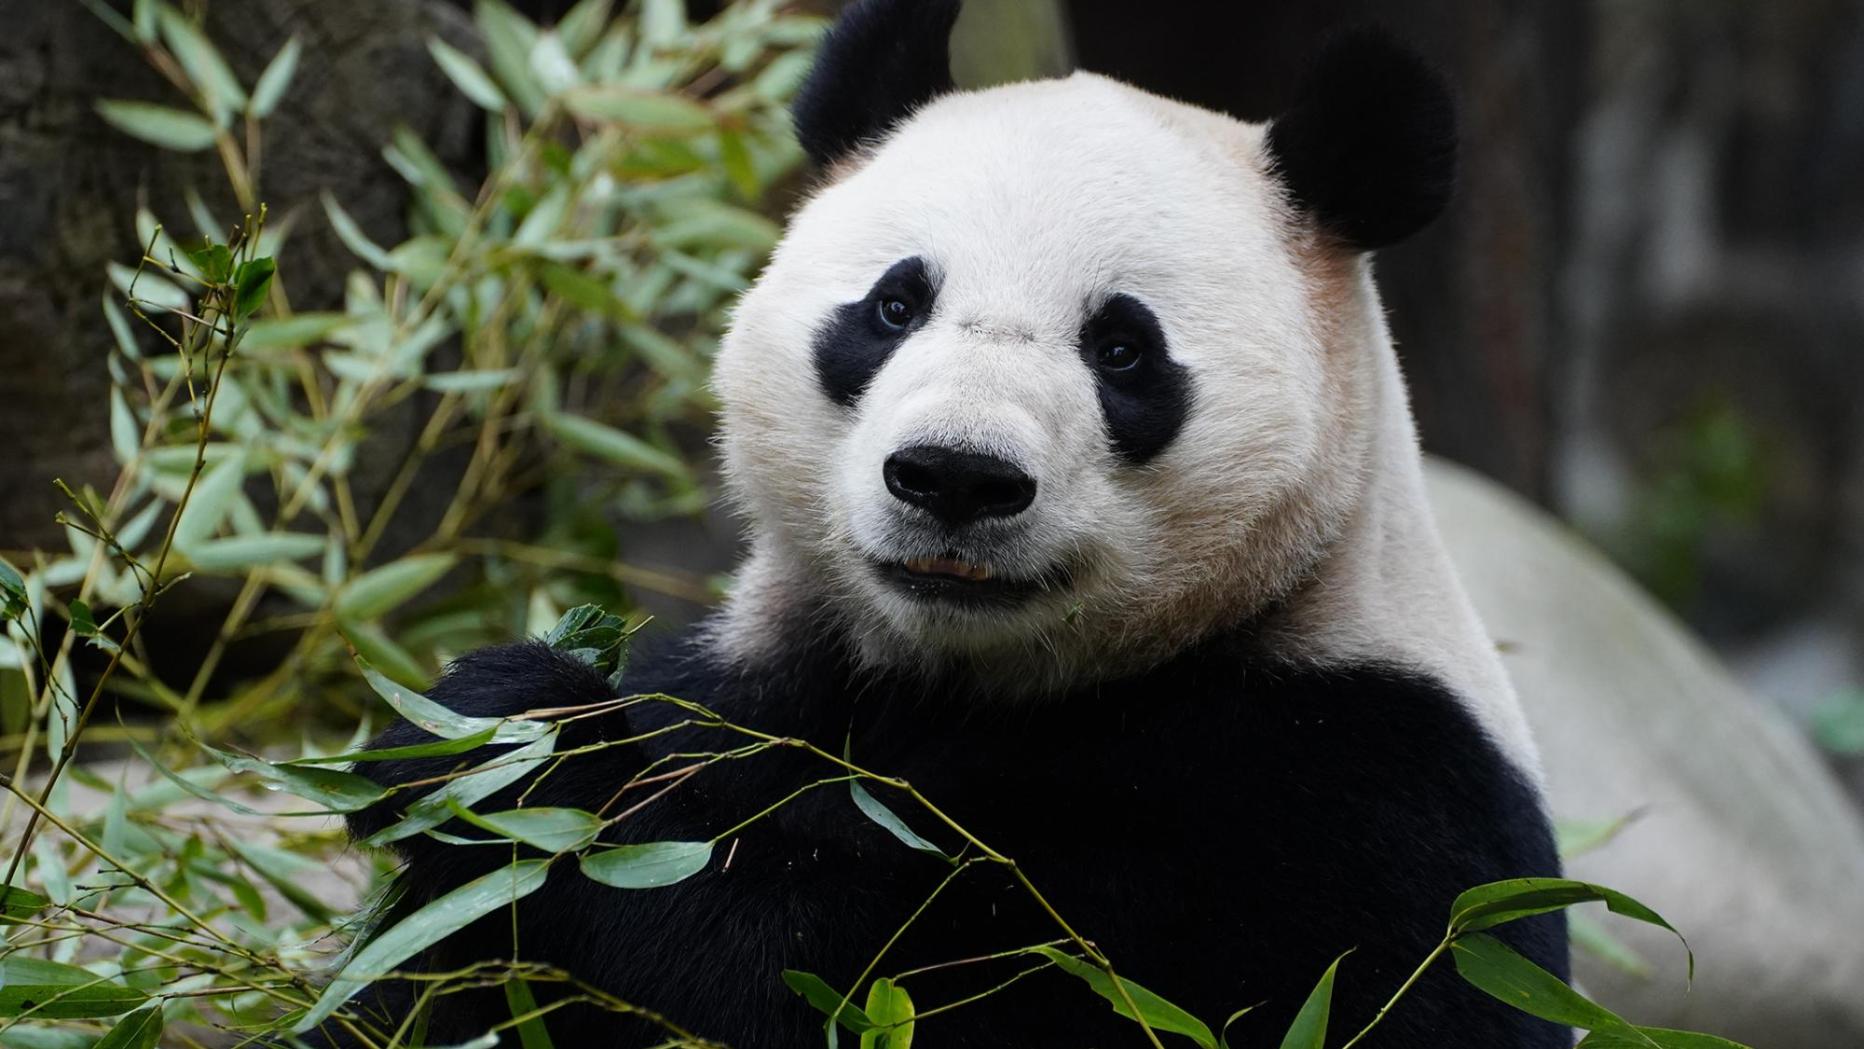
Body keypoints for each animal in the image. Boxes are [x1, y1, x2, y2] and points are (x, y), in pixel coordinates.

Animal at [325, 1, 1568, 1046]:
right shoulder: (757, 684)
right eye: (893, 304)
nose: (956, 476)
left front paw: (535, 758)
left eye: (1123, 347)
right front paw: (476, 730)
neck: (967, 677)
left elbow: (832, 972)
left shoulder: (1359, 796)